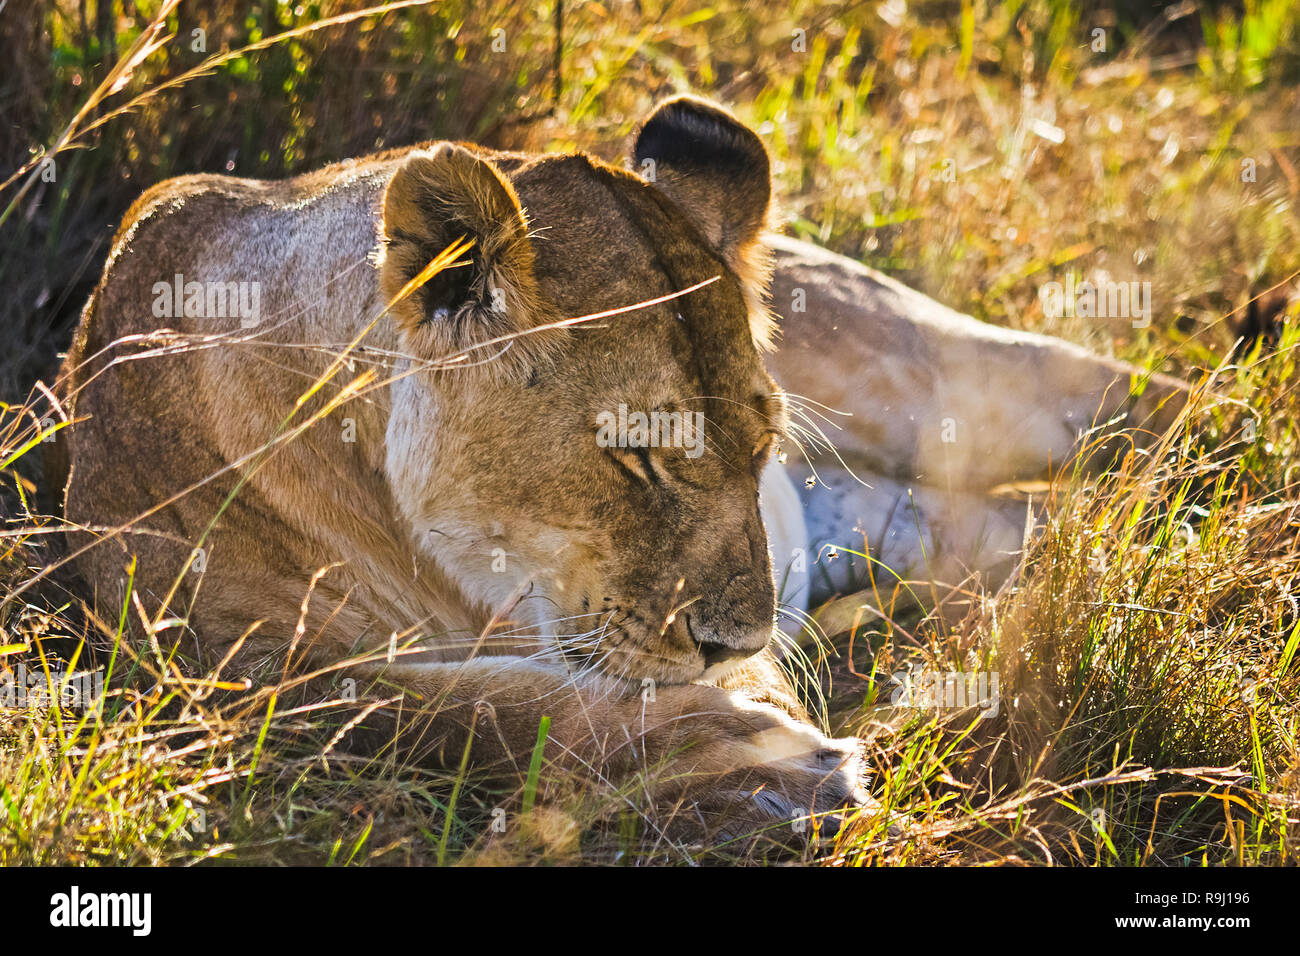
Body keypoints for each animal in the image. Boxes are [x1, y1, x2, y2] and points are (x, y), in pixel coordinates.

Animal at [49, 96, 1186, 840]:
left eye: (762, 443)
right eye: (639, 456)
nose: (735, 637)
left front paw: (764, 756)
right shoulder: (212, 673)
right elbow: (459, 714)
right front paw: (765, 763)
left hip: (940, 372)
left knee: (1138, 394)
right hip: (923, 512)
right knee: (1010, 522)